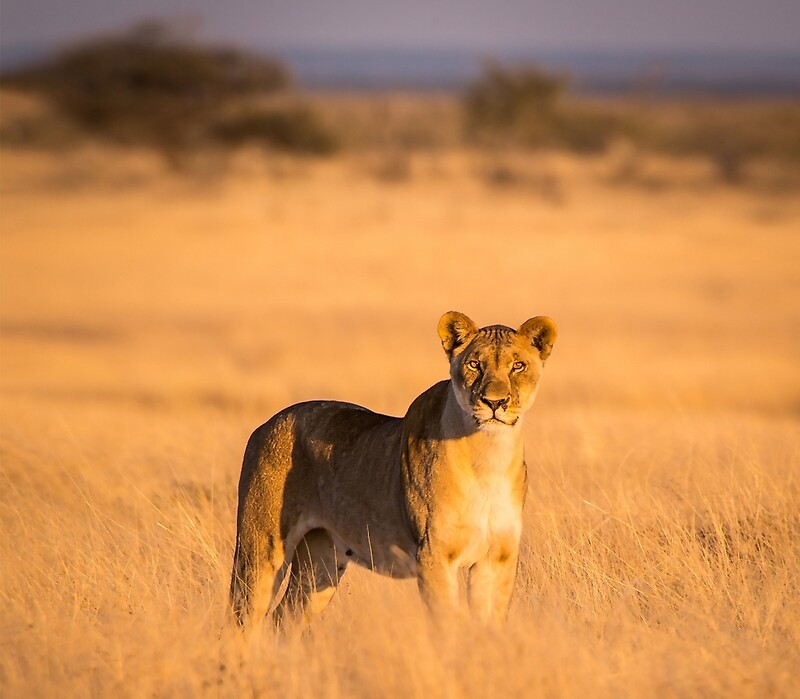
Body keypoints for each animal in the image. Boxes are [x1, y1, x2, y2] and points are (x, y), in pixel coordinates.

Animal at [230, 311, 557, 628]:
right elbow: (447, 625)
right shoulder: (434, 555)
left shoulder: (496, 559)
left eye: (518, 366)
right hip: (261, 549)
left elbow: (489, 626)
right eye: (475, 364)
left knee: (283, 618)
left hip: (321, 561)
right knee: (243, 621)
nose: (494, 402)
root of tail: (265, 424)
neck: (489, 456)